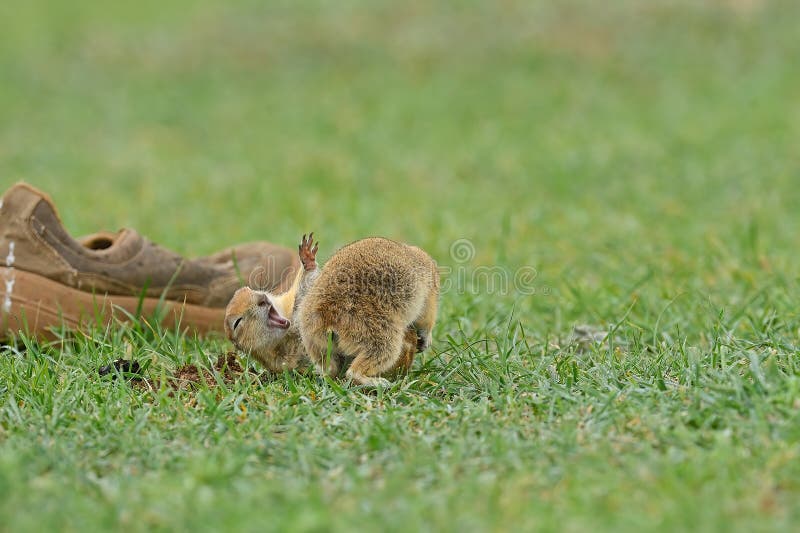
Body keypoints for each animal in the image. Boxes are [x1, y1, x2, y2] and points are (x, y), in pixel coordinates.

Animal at [224, 234, 439, 385]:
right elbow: (427, 315)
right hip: (377, 334)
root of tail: (326, 315)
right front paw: (426, 338)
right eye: (237, 323)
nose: (262, 300)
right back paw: (375, 381)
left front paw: (307, 259)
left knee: (331, 370)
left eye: (248, 291)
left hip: (314, 340)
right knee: (363, 365)